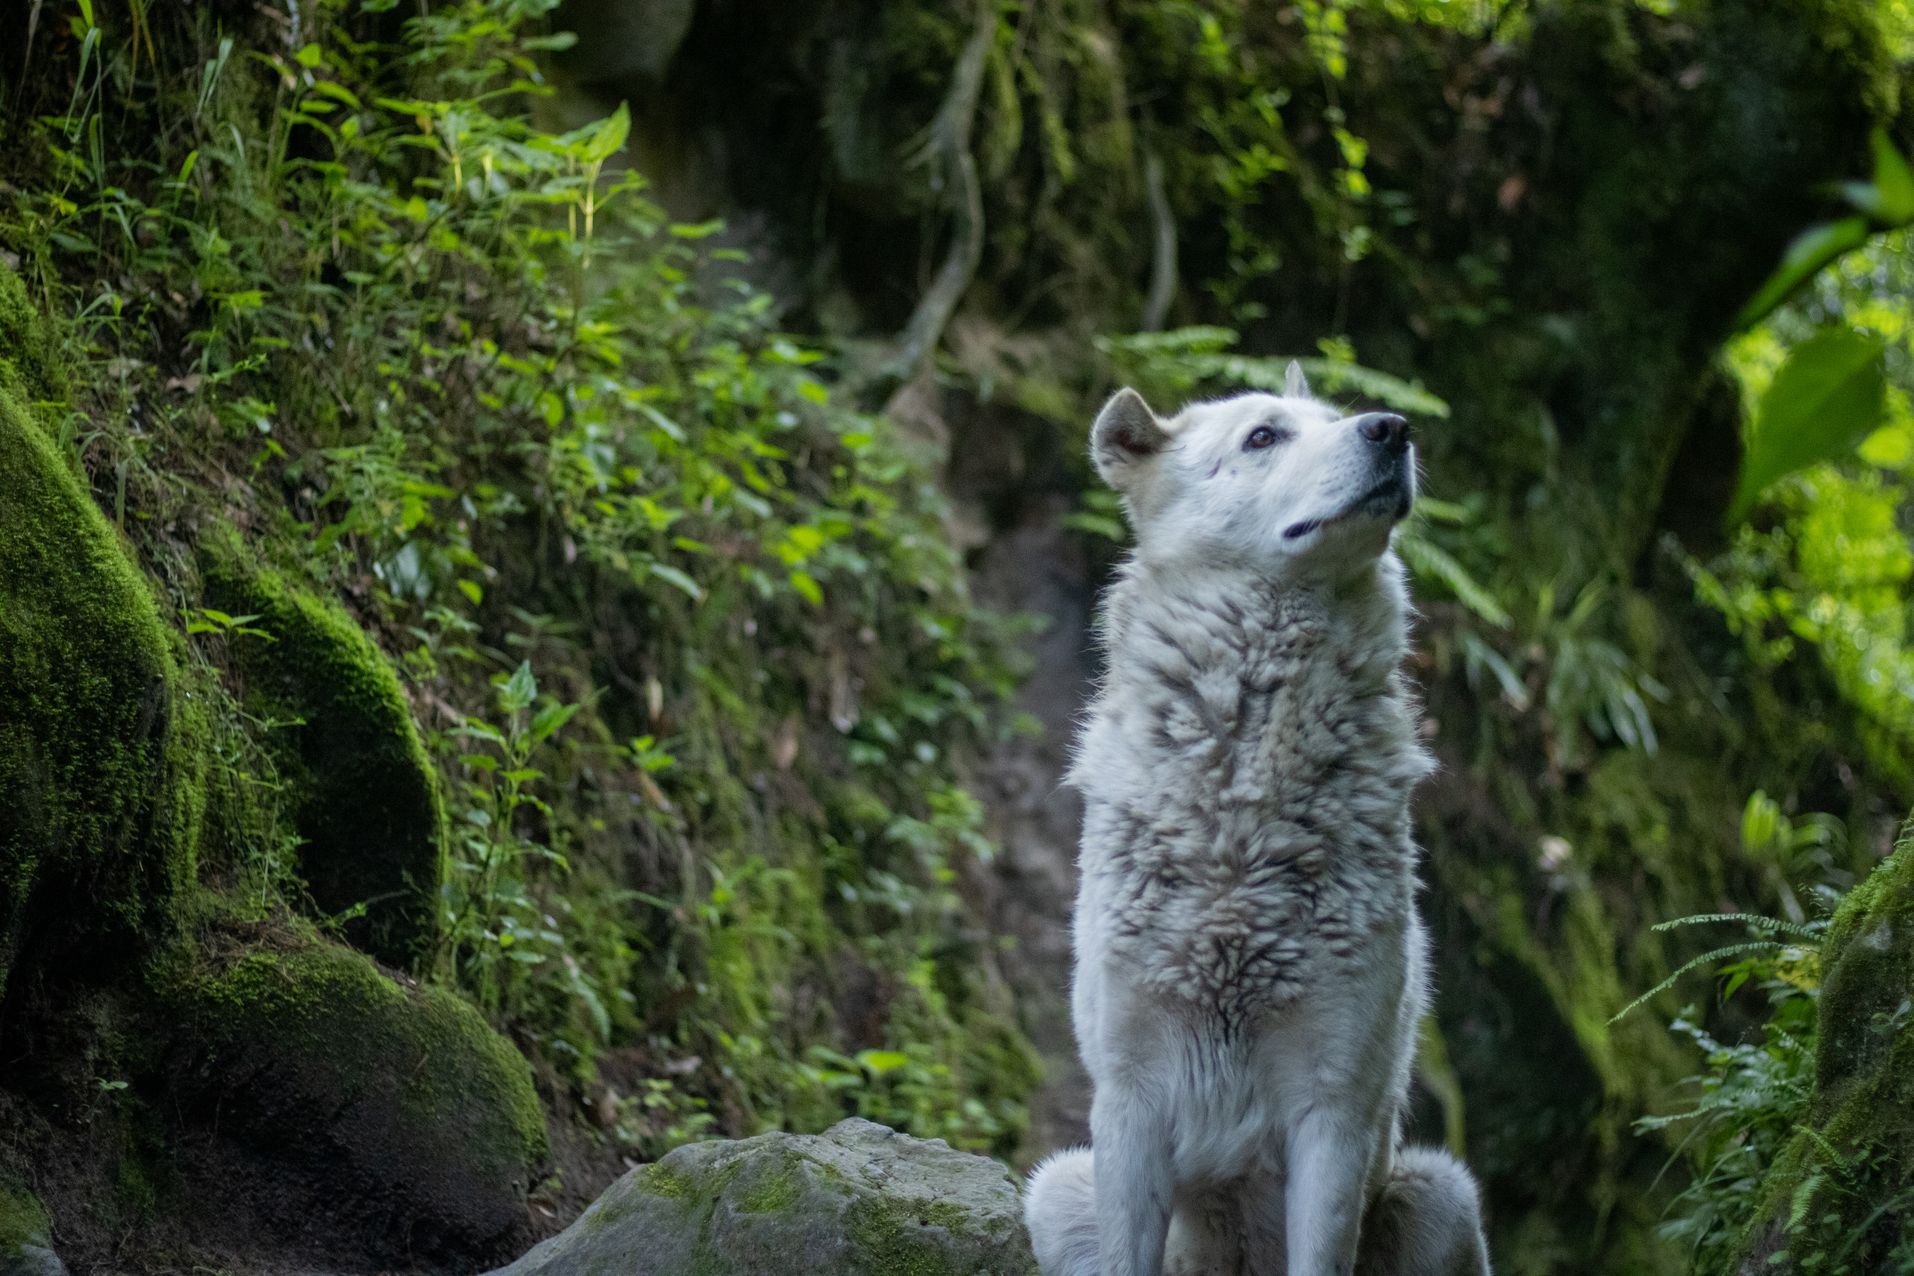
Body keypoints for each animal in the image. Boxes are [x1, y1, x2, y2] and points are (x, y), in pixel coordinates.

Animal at [1023, 366, 1490, 1276]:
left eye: (1339, 418)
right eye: (1262, 437)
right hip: (1056, 1190)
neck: (1241, 816)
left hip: (1441, 1195)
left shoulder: (1333, 1108)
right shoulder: (1129, 1099)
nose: (1393, 428)